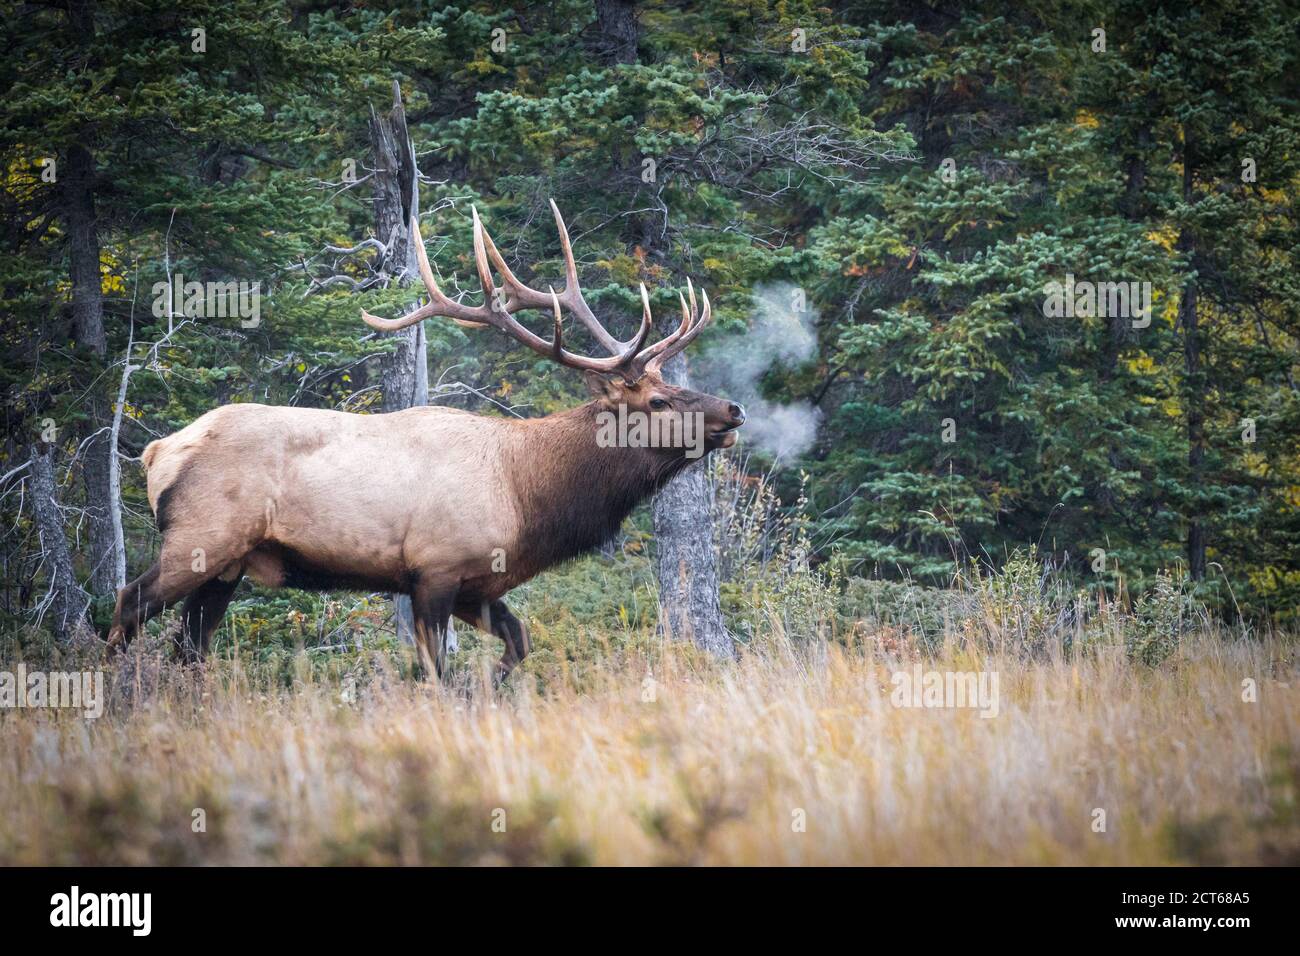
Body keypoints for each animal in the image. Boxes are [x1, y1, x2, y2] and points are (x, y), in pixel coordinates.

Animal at [106, 202, 746, 679]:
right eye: (657, 401)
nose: (733, 409)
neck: (527, 497)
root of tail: (157, 453)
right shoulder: (435, 568)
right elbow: (437, 671)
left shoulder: (477, 585)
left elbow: (519, 643)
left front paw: (495, 684)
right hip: (201, 537)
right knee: (128, 603)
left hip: (229, 564)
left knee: (190, 645)